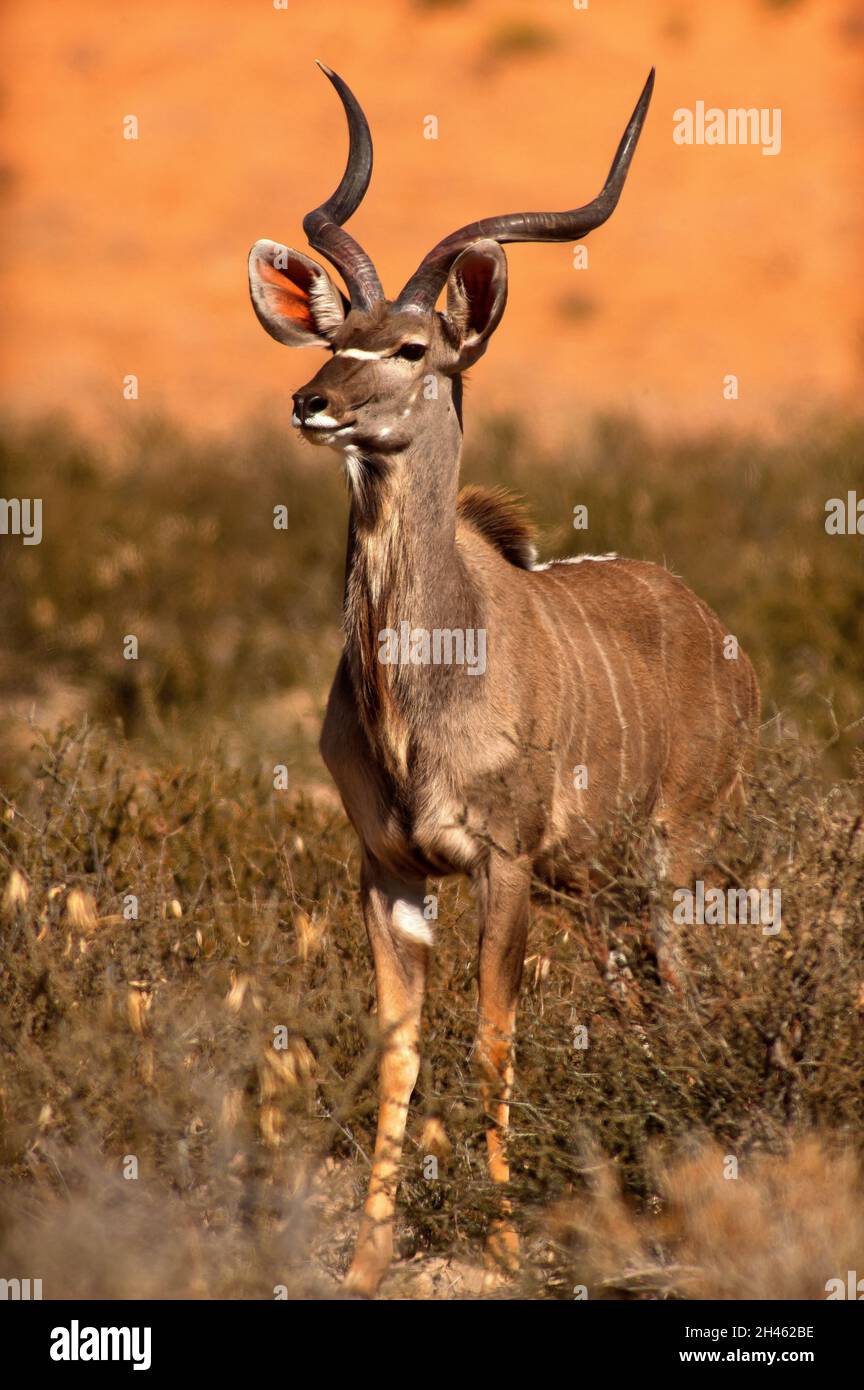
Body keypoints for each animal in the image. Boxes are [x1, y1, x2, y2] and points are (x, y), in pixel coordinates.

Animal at [248, 63, 759, 1297]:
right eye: (337, 335)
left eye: (415, 350)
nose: (312, 402)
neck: (424, 683)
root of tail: (725, 641)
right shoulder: (387, 867)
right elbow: (399, 1047)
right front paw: (367, 1259)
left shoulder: (506, 864)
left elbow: (492, 1035)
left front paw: (507, 1242)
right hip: (602, 890)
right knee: (635, 999)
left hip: (673, 860)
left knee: (681, 986)